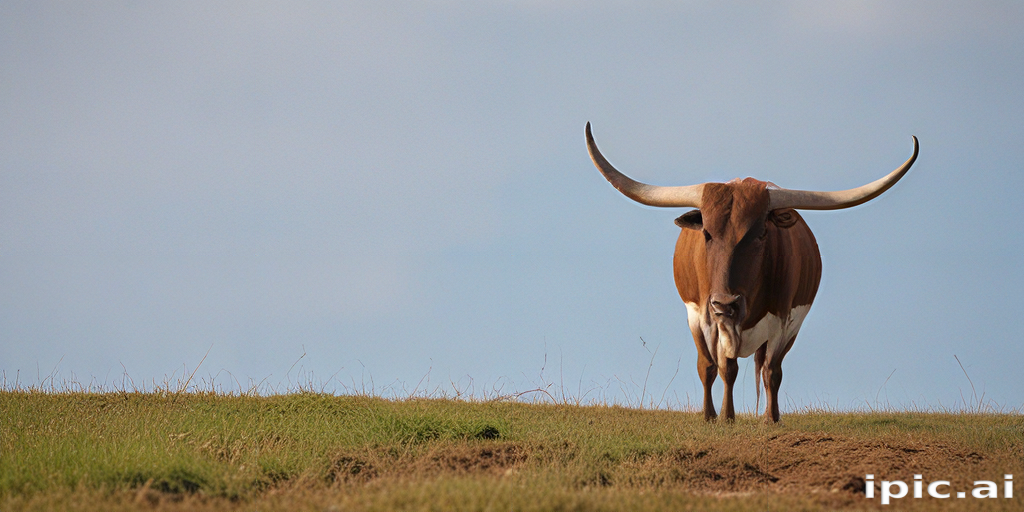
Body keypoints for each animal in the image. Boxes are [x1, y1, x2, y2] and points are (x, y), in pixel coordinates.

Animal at [585, 123, 918, 423]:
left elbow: (771, 370)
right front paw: (718, 416)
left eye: (760, 234)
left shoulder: (784, 320)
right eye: (707, 234)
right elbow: (716, 367)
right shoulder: (703, 316)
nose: (726, 302)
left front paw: (770, 418)